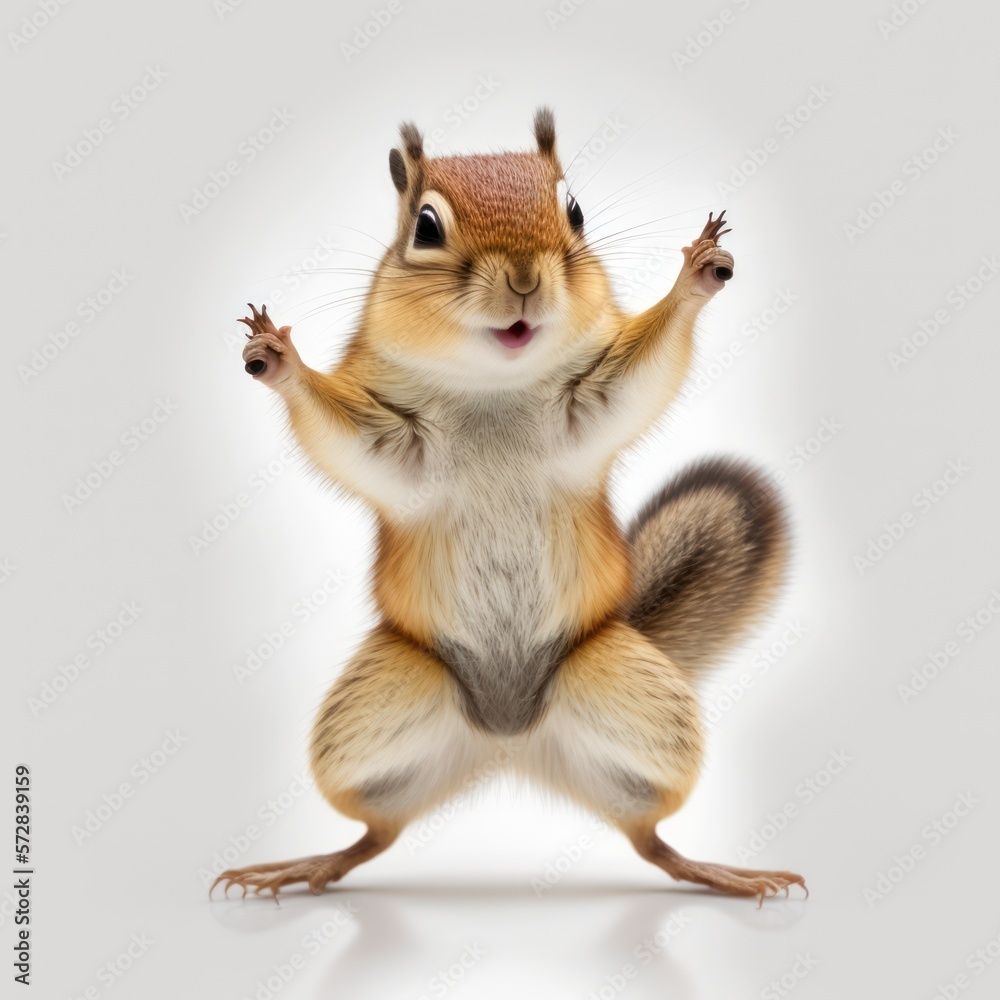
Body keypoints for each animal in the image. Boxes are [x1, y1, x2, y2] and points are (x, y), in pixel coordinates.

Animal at [212, 108, 805, 904]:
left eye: (575, 211)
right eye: (425, 226)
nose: (524, 279)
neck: (493, 390)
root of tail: (507, 744)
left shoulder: (594, 401)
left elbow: (647, 367)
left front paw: (697, 277)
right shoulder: (393, 441)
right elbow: (336, 427)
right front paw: (278, 361)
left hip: (635, 698)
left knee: (649, 838)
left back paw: (721, 873)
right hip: (368, 716)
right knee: (377, 832)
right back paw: (305, 865)